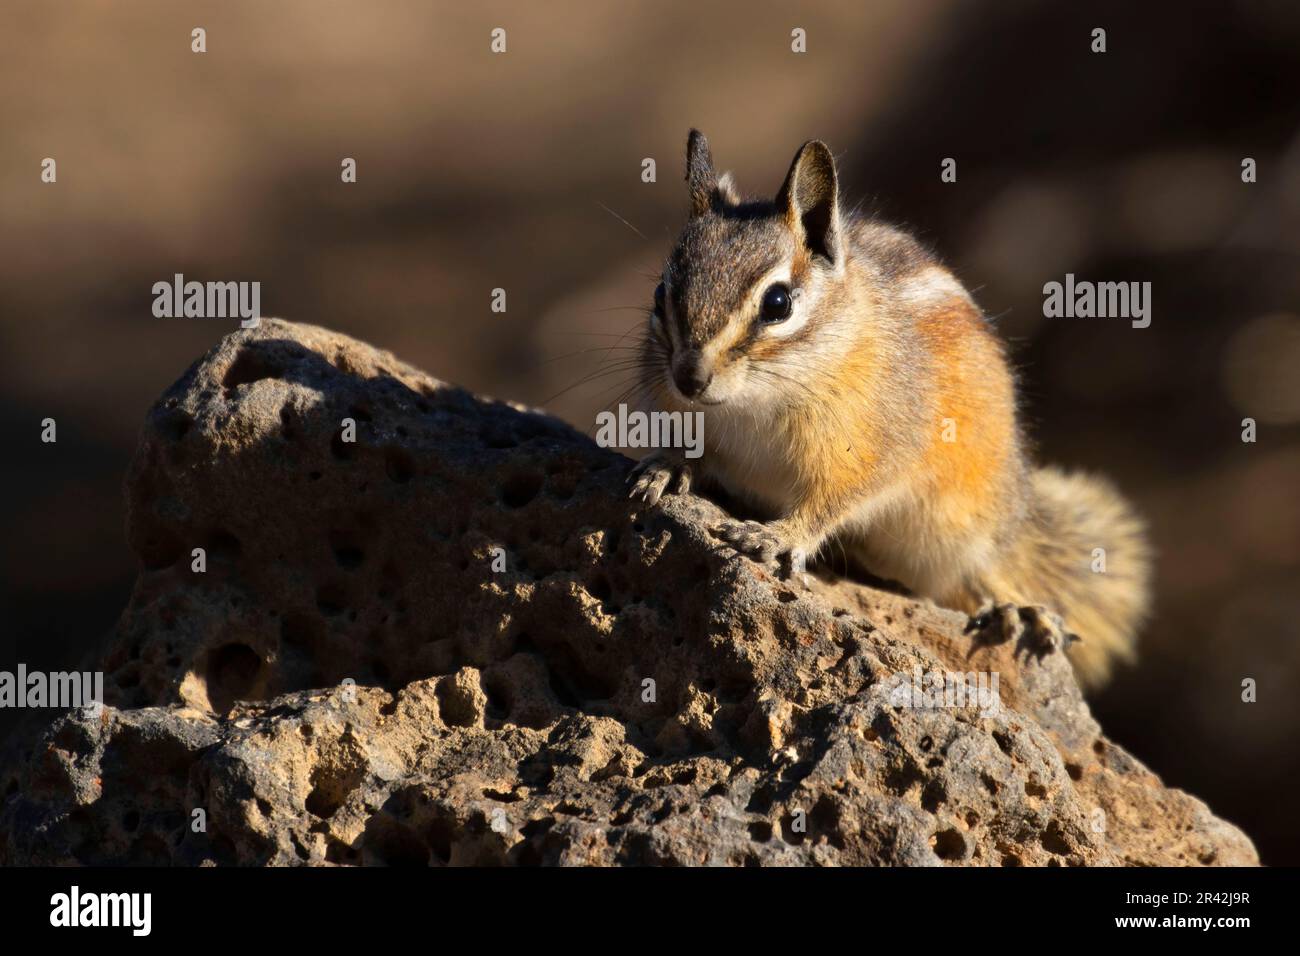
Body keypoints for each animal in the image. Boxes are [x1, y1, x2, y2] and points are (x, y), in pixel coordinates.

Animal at [628, 130, 1151, 687]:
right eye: (659, 294)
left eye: (778, 304)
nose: (689, 378)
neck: (755, 402)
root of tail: (1021, 501)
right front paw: (666, 466)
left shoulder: (870, 451)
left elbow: (833, 501)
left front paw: (779, 535)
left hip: (965, 517)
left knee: (981, 567)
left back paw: (1016, 607)